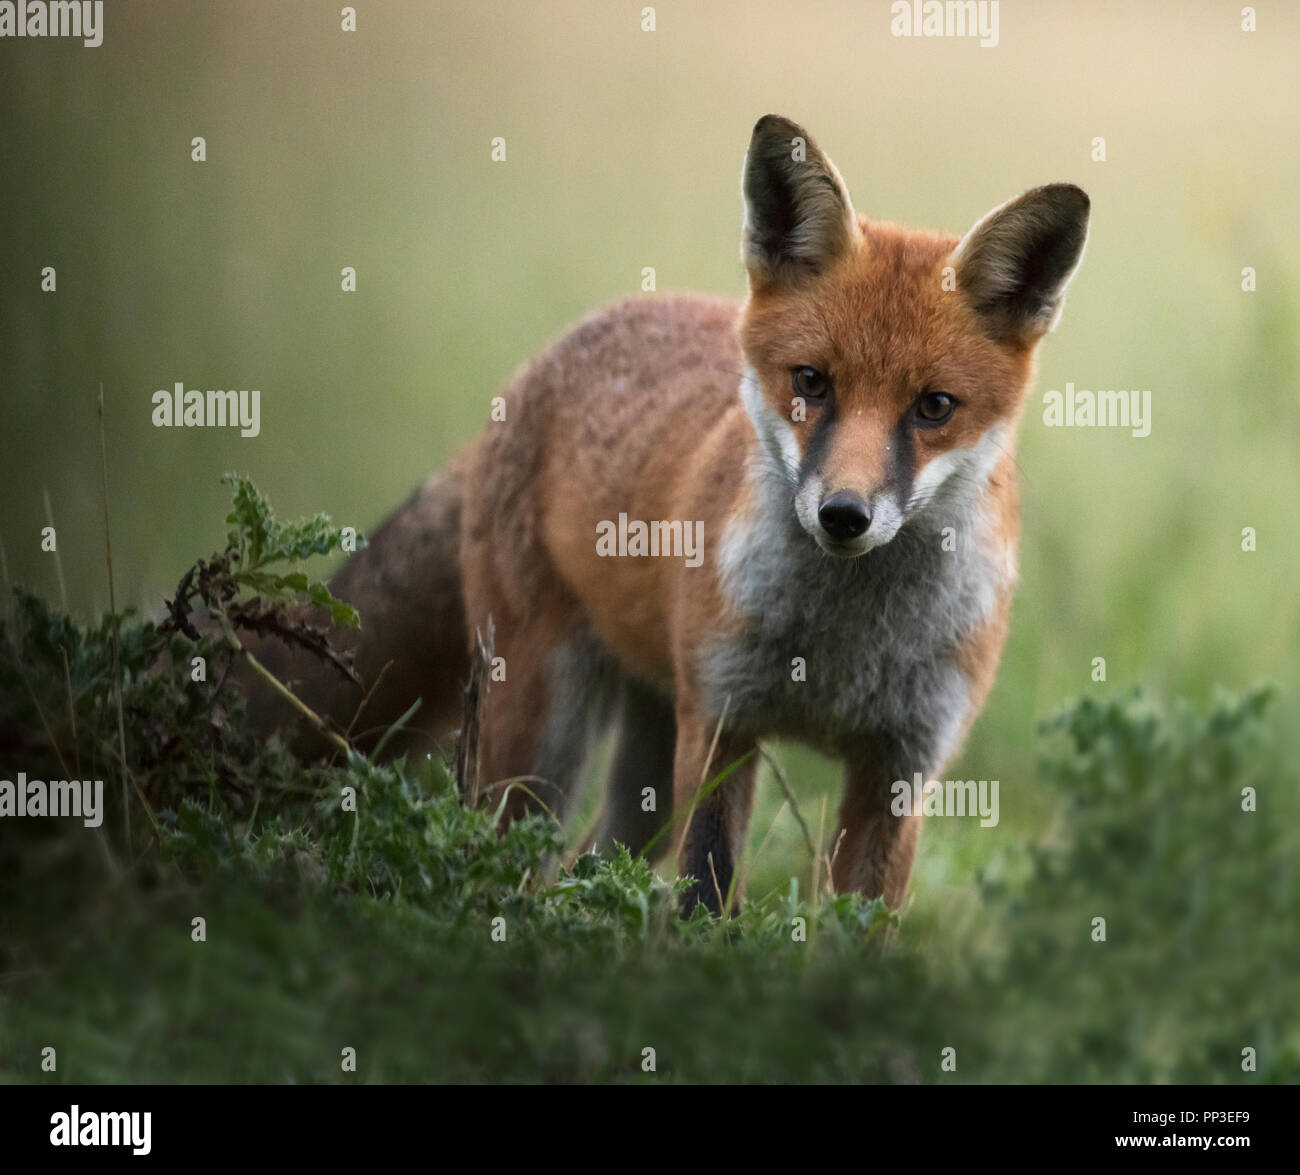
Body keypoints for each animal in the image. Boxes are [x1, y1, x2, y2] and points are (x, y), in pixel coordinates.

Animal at [249, 115, 1090, 916]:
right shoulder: (720, 721)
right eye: (811, 381)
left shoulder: (900, 767)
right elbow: (703, 897)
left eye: (934, 407)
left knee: (590, 861)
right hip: (542, 731)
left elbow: (860, 923)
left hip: (645, 765)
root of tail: (535, 365)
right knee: (512, 849)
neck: (841, 651)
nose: (843, 514)